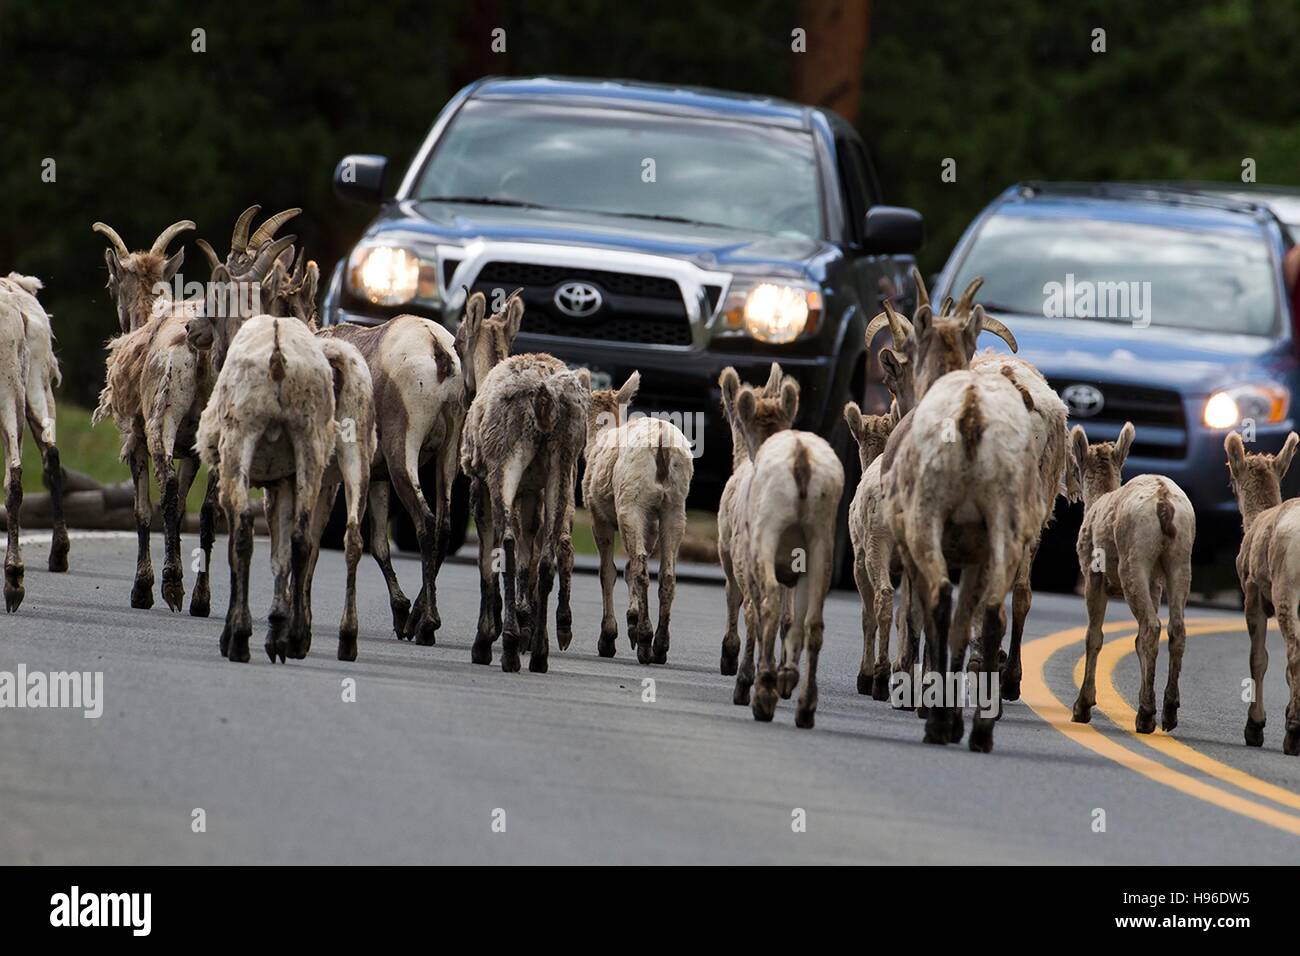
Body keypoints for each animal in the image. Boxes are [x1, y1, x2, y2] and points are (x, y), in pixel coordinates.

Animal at [461, 320, 589, 673]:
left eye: (458, 341)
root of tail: (545, 398)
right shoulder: (532, 492)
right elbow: (528, 557)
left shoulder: (479, 485)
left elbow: (488, 559)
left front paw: (483, 642)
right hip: (563, 464)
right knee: (546, 558)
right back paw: (540, 654)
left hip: (506, 459)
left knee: (506, 543)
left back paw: (508, 650)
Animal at [581, 370, 694, 664]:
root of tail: (662, 444)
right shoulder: (650, 522)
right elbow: (627, 568)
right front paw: (630, 622)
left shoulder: (598, 515)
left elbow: (608, 572)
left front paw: (609, 638)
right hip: (674, 507)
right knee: (666, 573)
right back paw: (661, 646)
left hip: (631, 500)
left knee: (642, 569)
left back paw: (645, 641)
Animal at [728, 381, 844, 727]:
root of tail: (800, 457)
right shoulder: (796, 570)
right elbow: (793, 621)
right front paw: (787, 679)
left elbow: (755, 616)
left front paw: (748, 684)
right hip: (821, 545)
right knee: (814, 623)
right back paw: (805, 708)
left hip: (767, 539)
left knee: (767, 608)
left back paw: (763, 697)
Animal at [1070, 423, 1195, 734]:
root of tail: (1164, 504)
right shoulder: (1156, 584)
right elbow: (1135, 643)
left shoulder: (1093, 576)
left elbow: (1094, 636)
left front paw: (1082, 707)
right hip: (1179, 563)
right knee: (1175, 628)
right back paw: (1169, 712)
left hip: (1133, 563)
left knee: (1151, 626)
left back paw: (1146, 715)